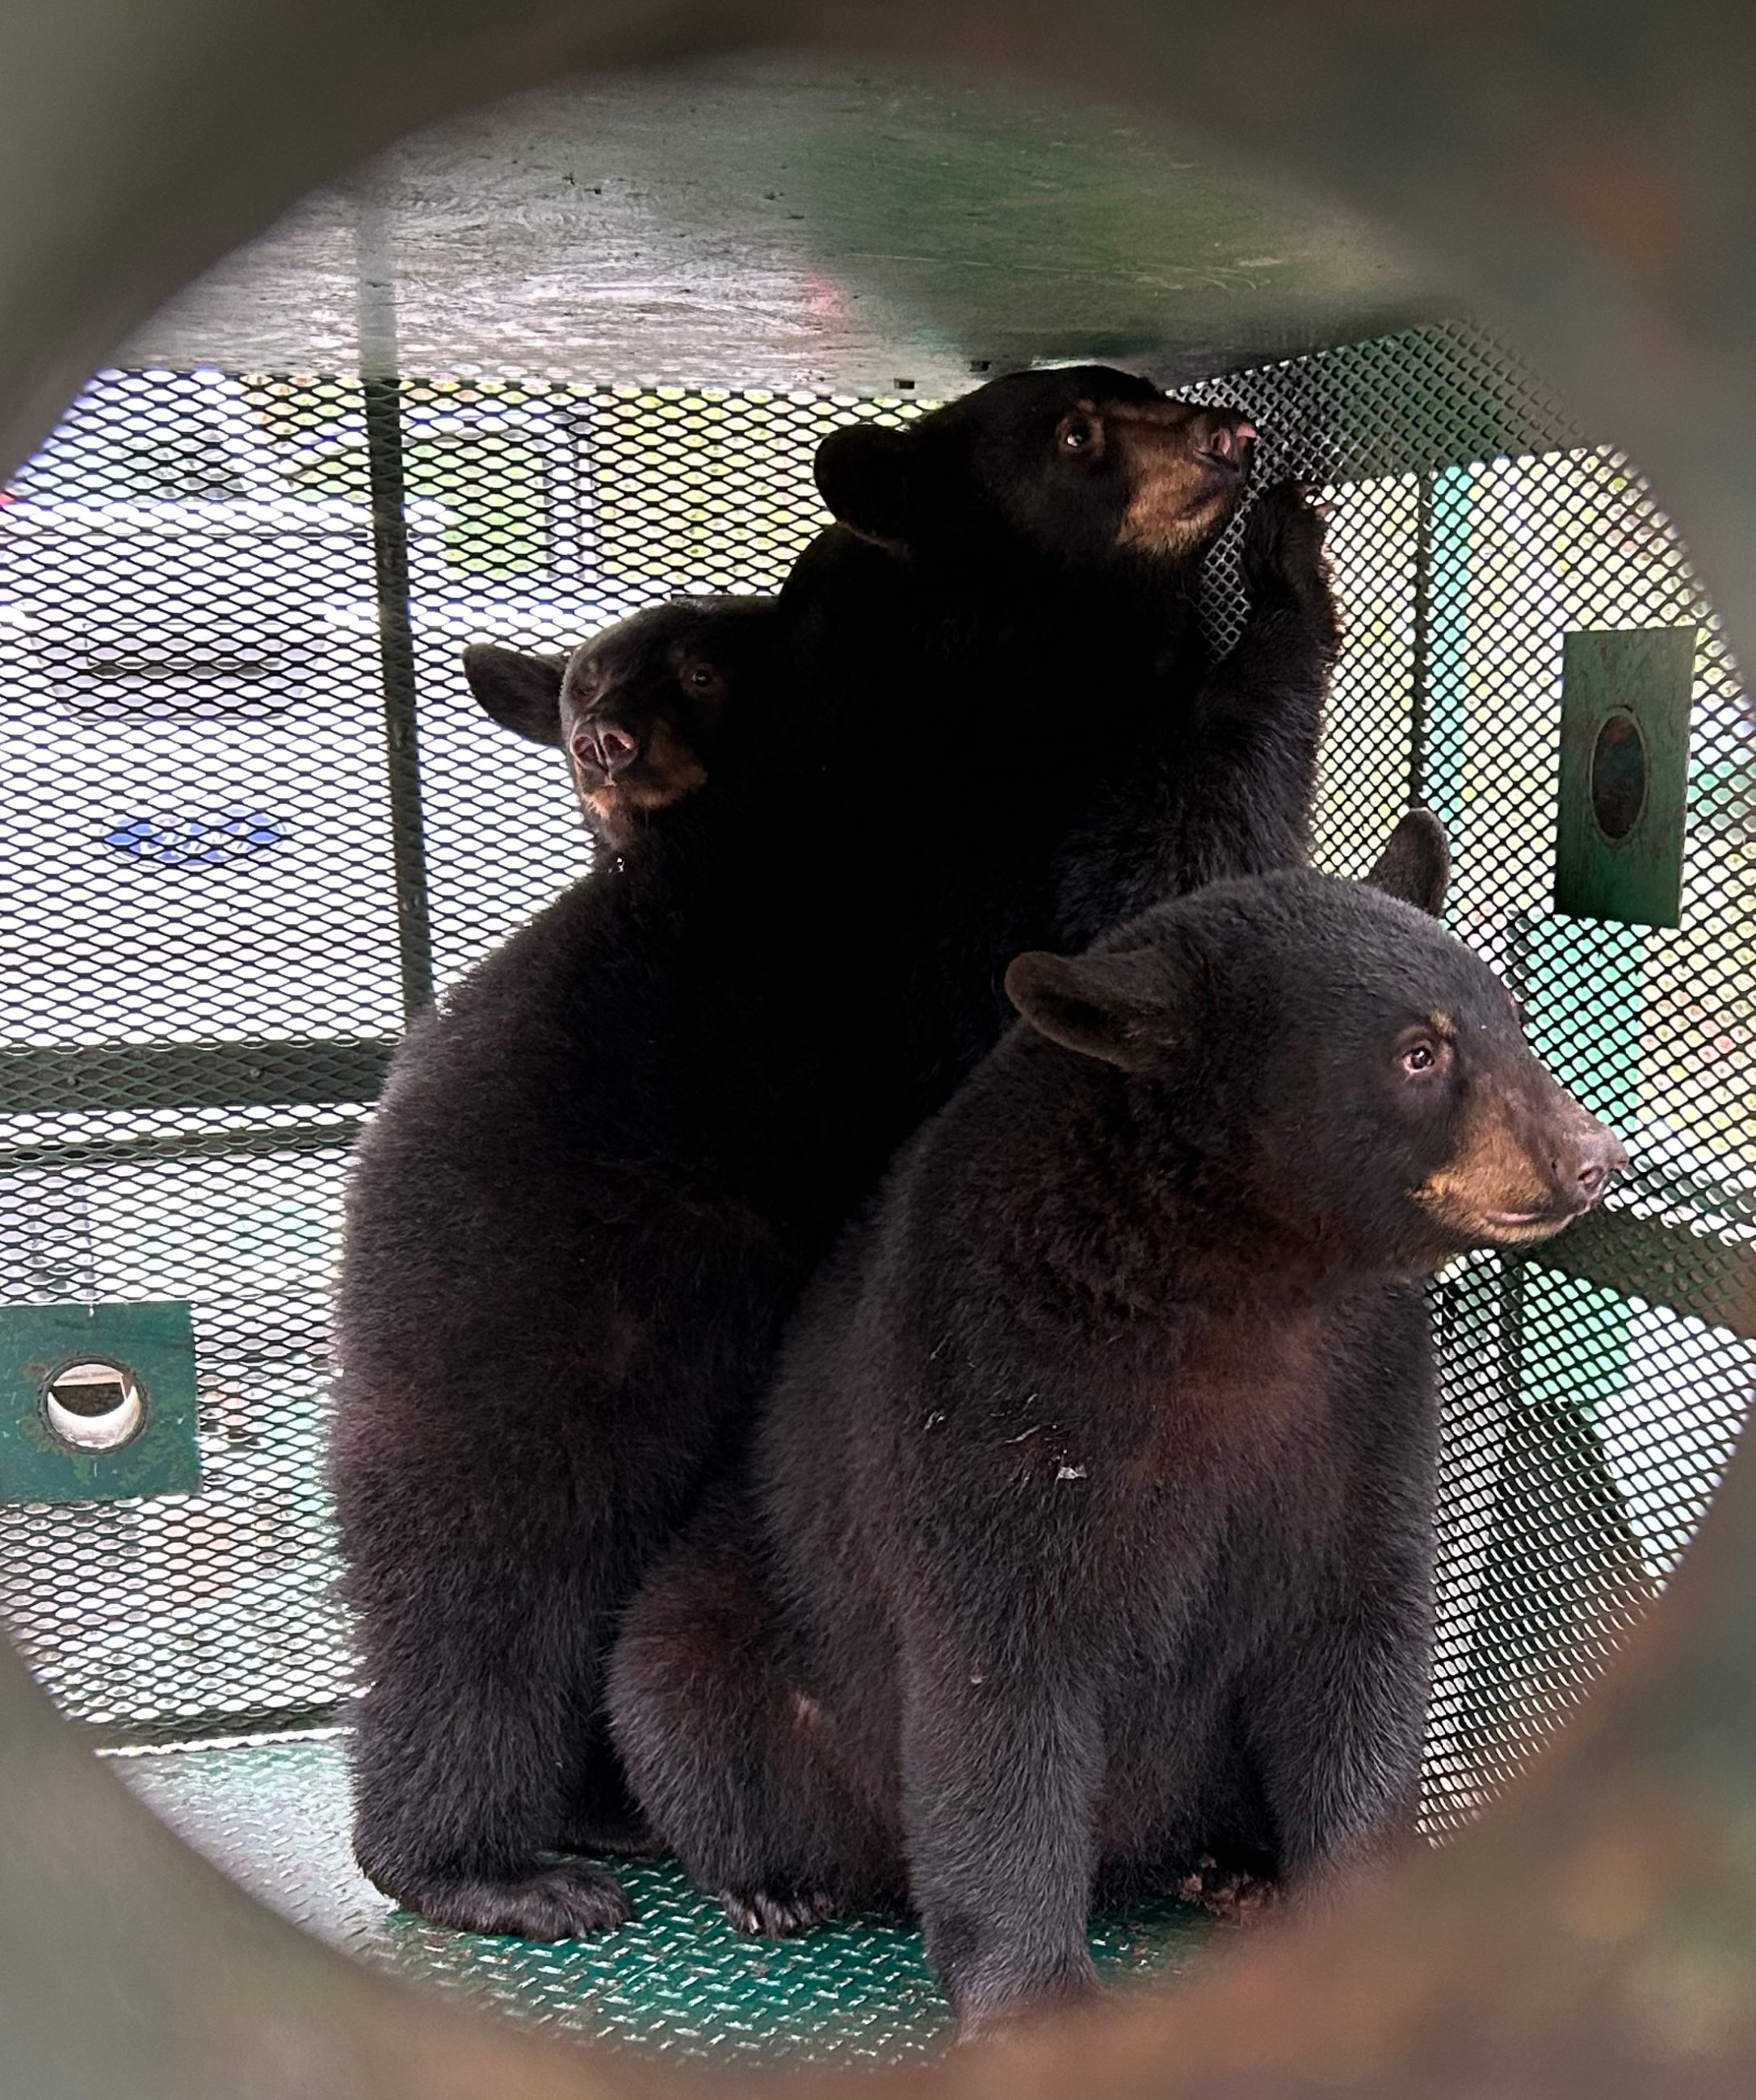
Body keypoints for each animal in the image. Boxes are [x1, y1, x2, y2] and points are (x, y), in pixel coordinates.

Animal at [329, 367, 1329, 1943]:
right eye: (1074, 429)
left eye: (1136, 383)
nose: (1229, 434)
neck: (974, 653)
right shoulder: (976, 843)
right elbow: (1155, 880)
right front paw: (1289, 590)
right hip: (517, 1310)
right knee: (484, 1569)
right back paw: (483, 1865)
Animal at [607, 812, 1628, 2036]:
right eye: (1417, 1052)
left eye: (1511, 1017)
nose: (1592, 1159)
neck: (1244, 1278)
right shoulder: (985, 1373)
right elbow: (997, 1679)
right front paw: (1033, 2001)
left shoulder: (1362, 1391)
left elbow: (1358, 1633)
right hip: (736, 1609)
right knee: (676, 1698)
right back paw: (775, 1884)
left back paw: (1232, 1865)